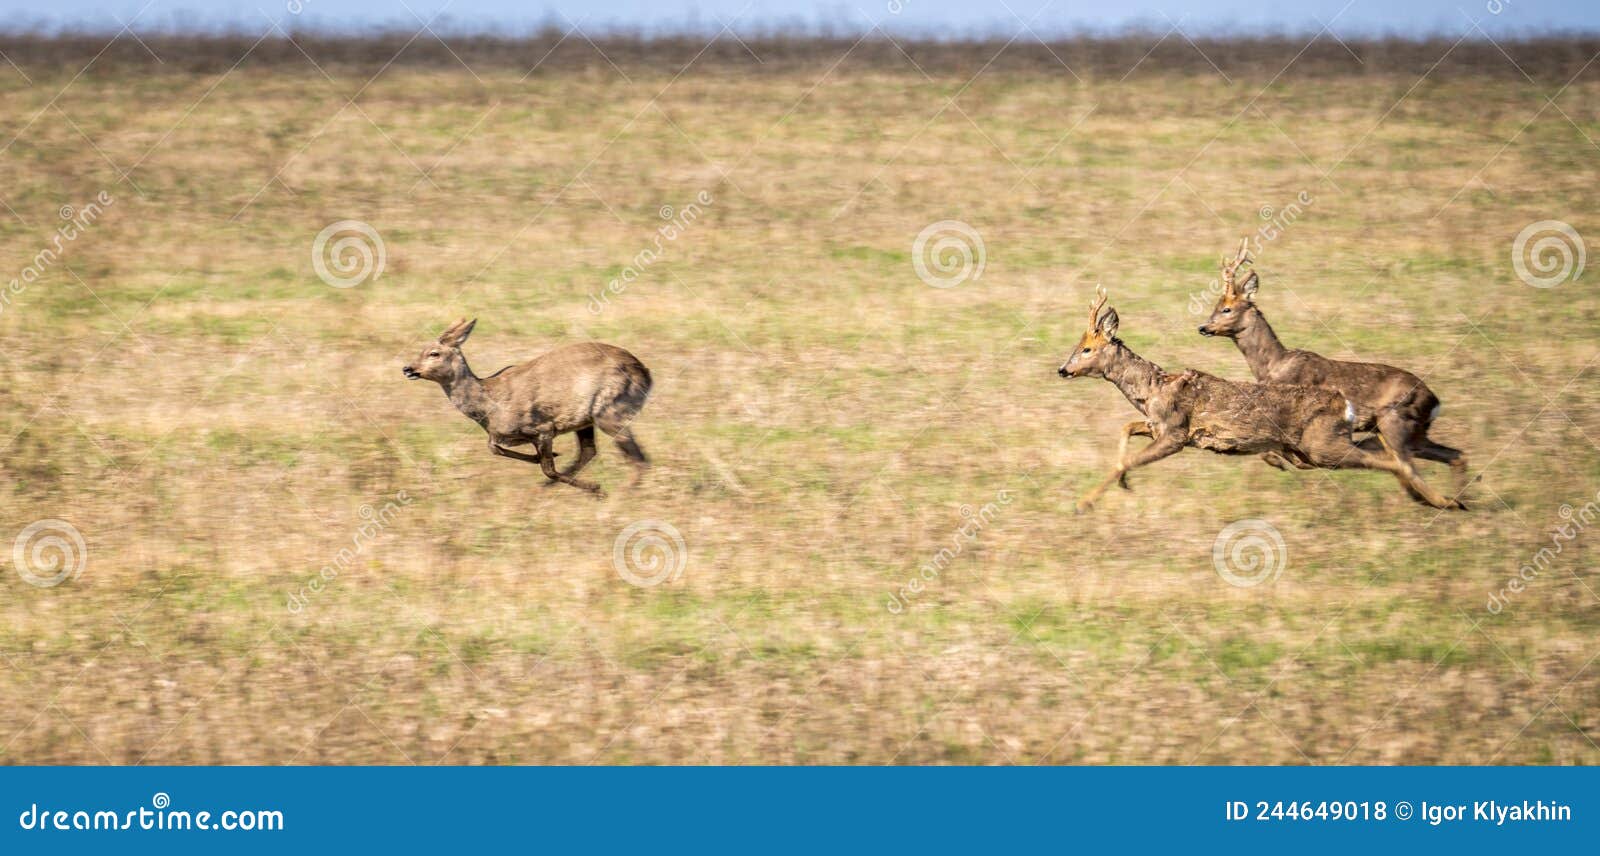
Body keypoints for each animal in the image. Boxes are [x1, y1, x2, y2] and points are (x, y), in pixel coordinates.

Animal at [403, 318, 651, 495]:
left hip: (609, 410)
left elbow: (548, 468)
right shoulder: (503, 434)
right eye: (420, 350)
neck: (489, 405)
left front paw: (595, 487)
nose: (408, 368)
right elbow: (494, 448)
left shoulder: (543, 427)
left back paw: (617, 493)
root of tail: (646, 373)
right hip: (588, 419)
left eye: (434, 353)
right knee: (591, 451)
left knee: (638, 457)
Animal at [1058, 288, 1466, 512]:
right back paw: (1445, 499)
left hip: (1324, 446)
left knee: (1397, 462)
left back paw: (1446, 502)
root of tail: (1343, 405)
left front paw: (1084, 503)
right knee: (1420, 457)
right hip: (1325, 447)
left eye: (1088, 348)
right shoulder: (1156, 426)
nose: (1063, 369)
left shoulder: (1176, 433)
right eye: (1076, 346)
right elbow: (1125, 429)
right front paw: (1124, 484)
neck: (1152, 389)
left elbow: (1122, 458)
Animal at [1197, 240, 1470, 502]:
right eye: (1215, 306)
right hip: (1415, 433)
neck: (1274, 365)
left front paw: (1288, 462)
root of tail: (1434, 400)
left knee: (1408, 464)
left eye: (1227, 308)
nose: (1203, 327)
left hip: (1396, 421)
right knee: (1455, 454)